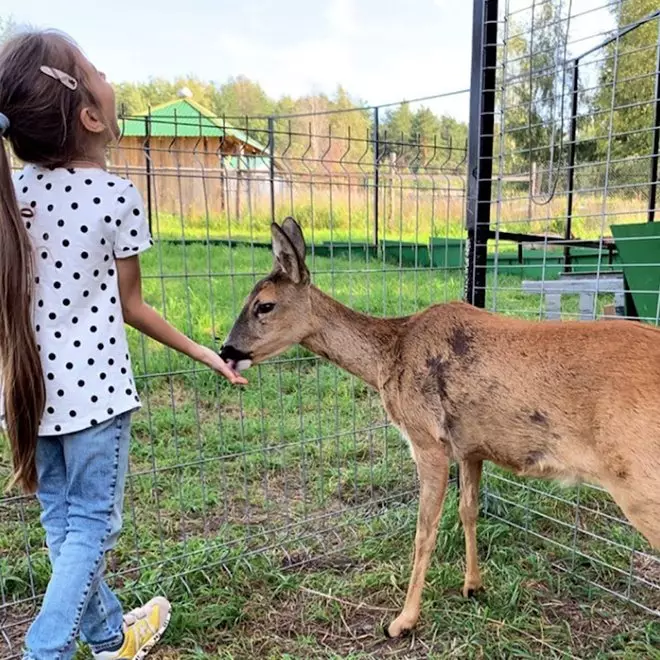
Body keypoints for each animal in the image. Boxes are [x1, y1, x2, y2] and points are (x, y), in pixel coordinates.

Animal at [220, 218, 660, 640]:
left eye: (264, 305)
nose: (226, 351)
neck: (388, 355)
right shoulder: (471, 447)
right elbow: (468, 510)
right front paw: (473, 585)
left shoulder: (426, 439)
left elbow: (424, 530)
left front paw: (403, 621)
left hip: (640, 480)